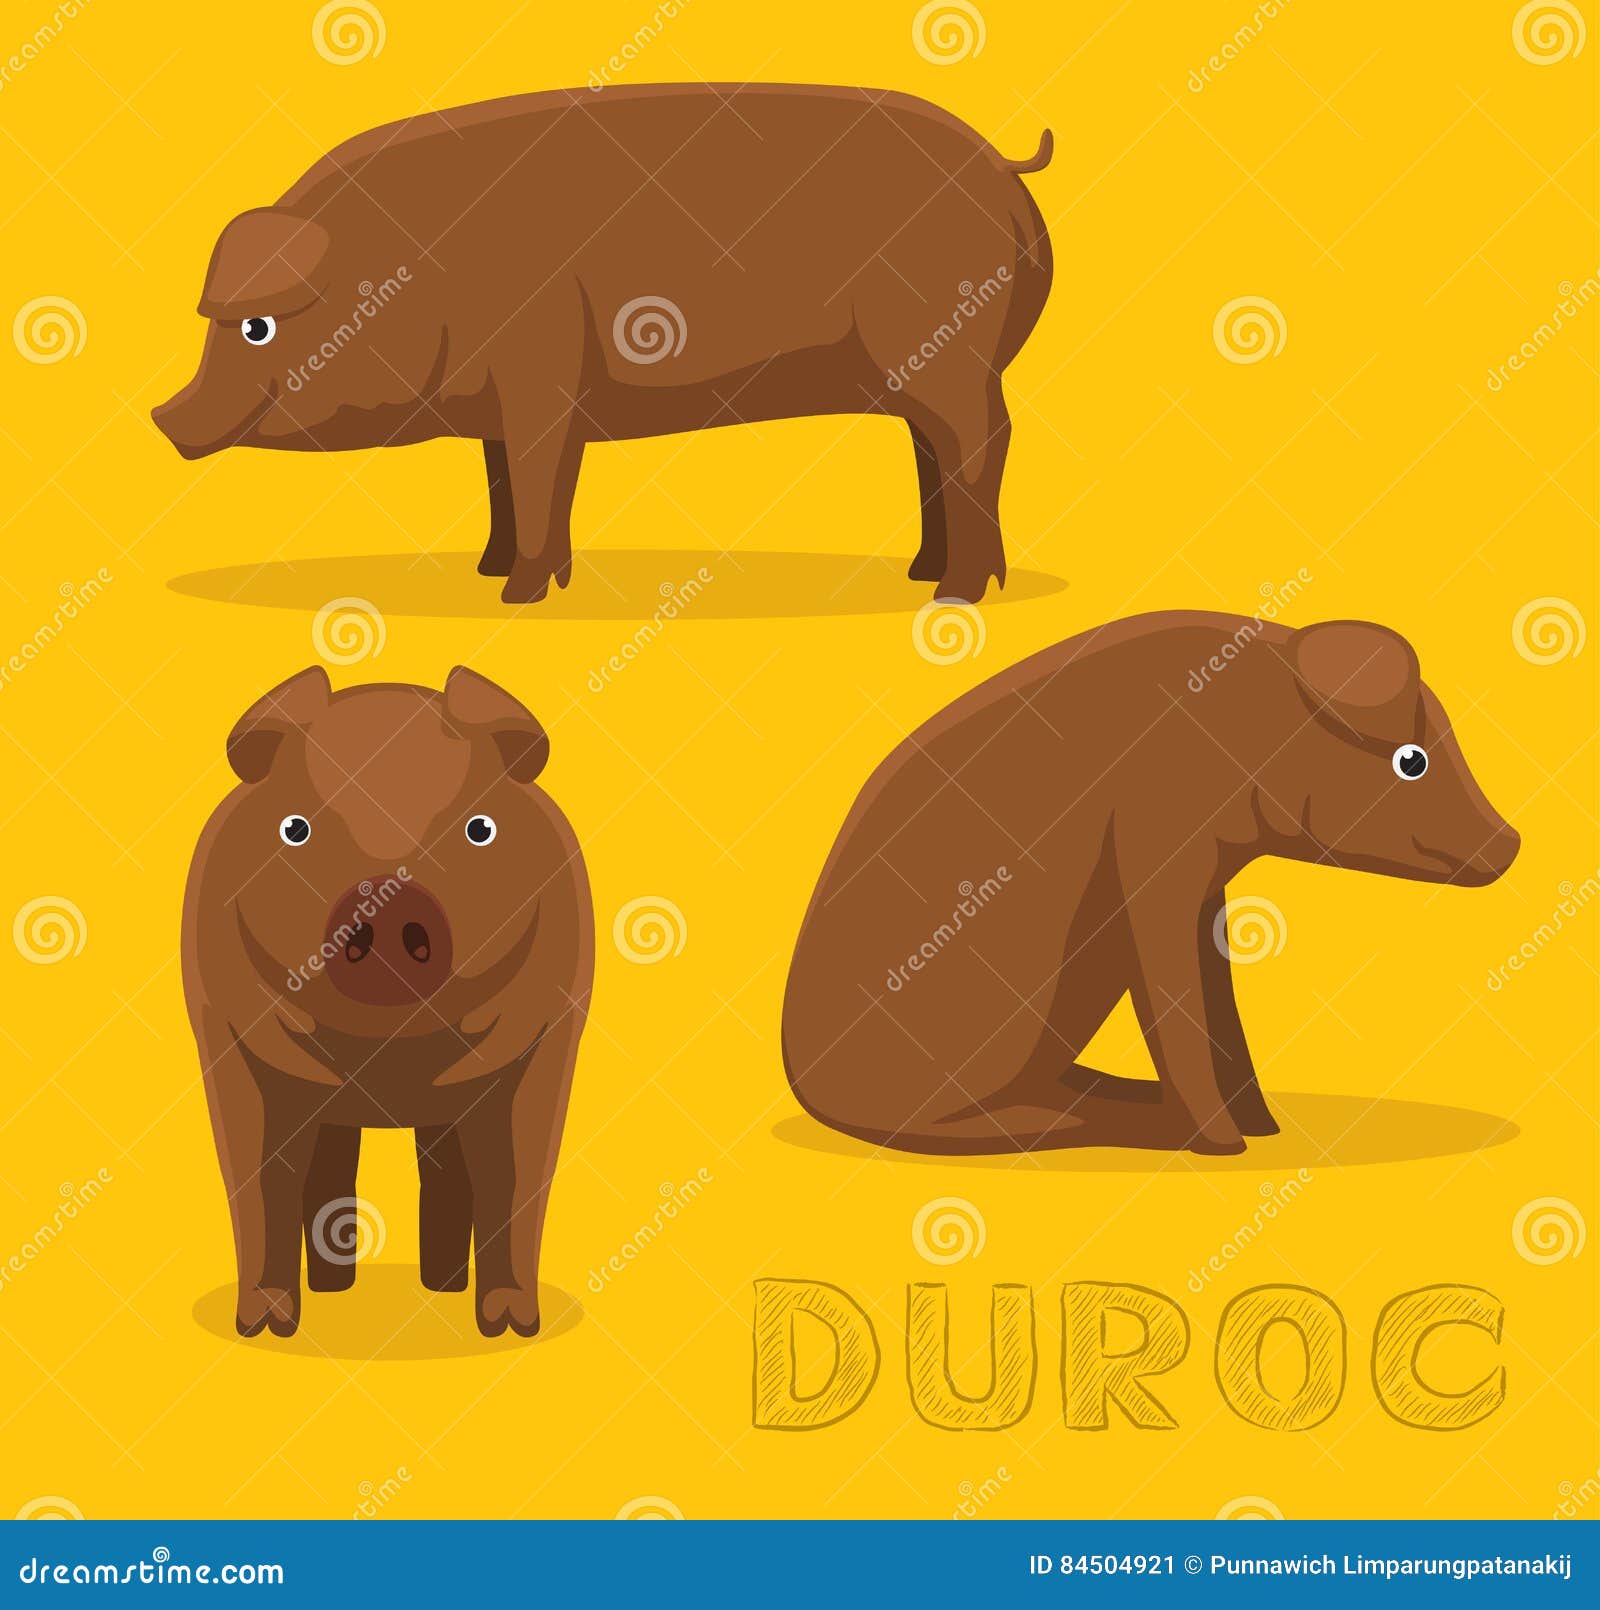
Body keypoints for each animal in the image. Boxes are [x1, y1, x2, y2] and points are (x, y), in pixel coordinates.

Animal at [151, 84, 1054, 605]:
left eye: (256, 324)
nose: (163, 416)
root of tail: (1003, 168)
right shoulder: (505, 404)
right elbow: (510, 484)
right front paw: (490, 574)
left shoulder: (542, 382)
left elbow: (539, 479)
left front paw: (517, 597)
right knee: (937, 452)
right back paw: (924, 574)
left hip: (950, 359)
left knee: (983, 439)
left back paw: (957, 597)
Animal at [182, 665, 592, 1337]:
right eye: (294, 829)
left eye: (481, 829)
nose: (387, 898)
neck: (389, 1054)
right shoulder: (230, 1035)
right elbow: (259, 1180)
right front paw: (265, 1326)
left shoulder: (548, 1034)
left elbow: (516, 1177)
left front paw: (509, 1326)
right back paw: (334, 1291)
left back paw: (443, 1290)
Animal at [782, 612, 1520, 1156]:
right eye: (1411, 761)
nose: (1512, 841)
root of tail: (803, 1082)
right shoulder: (1153, 839)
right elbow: (1172, 986)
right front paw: (1227, 1148)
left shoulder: (1208, 884)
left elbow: (1218, 992)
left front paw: (1265, 1128)